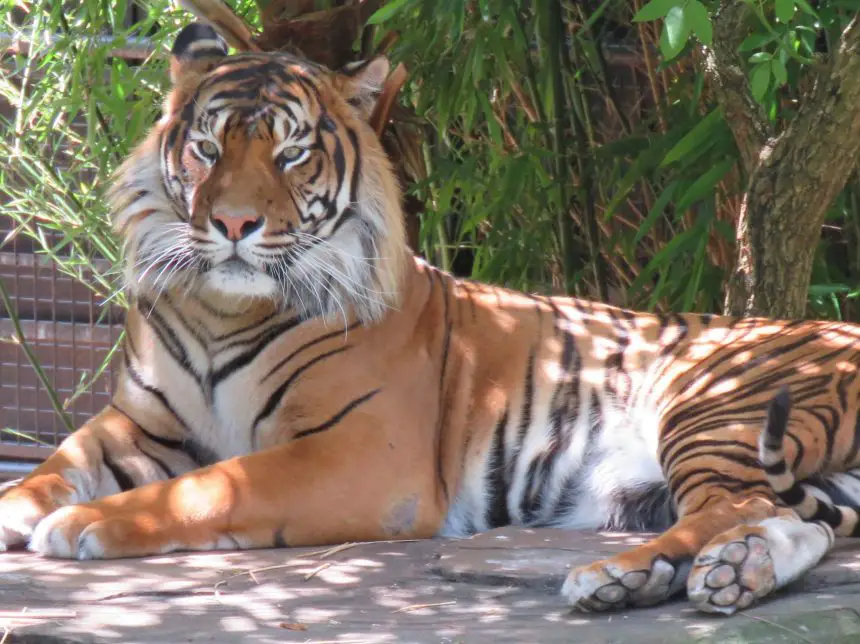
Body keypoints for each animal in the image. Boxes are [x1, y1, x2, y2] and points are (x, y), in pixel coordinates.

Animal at [2, 21, 860, 617]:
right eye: (208, 150)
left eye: (290, 155)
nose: (234, 225)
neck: (221, 306)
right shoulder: (139, 423)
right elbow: (56, 464)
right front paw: (24, 505)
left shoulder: (358, 452)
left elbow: (209, 488)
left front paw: (80, 524)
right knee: (798, 522)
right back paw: (720, 574)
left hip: (717, 405)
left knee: (739, 506)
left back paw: (621, 574)